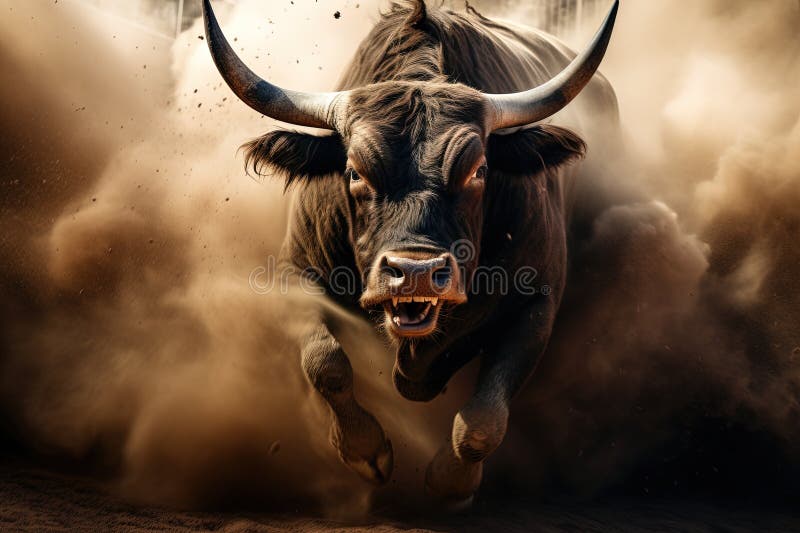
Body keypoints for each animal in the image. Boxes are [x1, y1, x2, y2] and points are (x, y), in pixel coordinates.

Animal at [202, 0, 619, 506]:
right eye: (355, 171)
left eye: (478, 170)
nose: (416, 272)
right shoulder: (295, 275)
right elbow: (326, 363)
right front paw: (366, 452)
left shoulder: (537, 304)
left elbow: (484, 419)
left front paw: (450, 481)